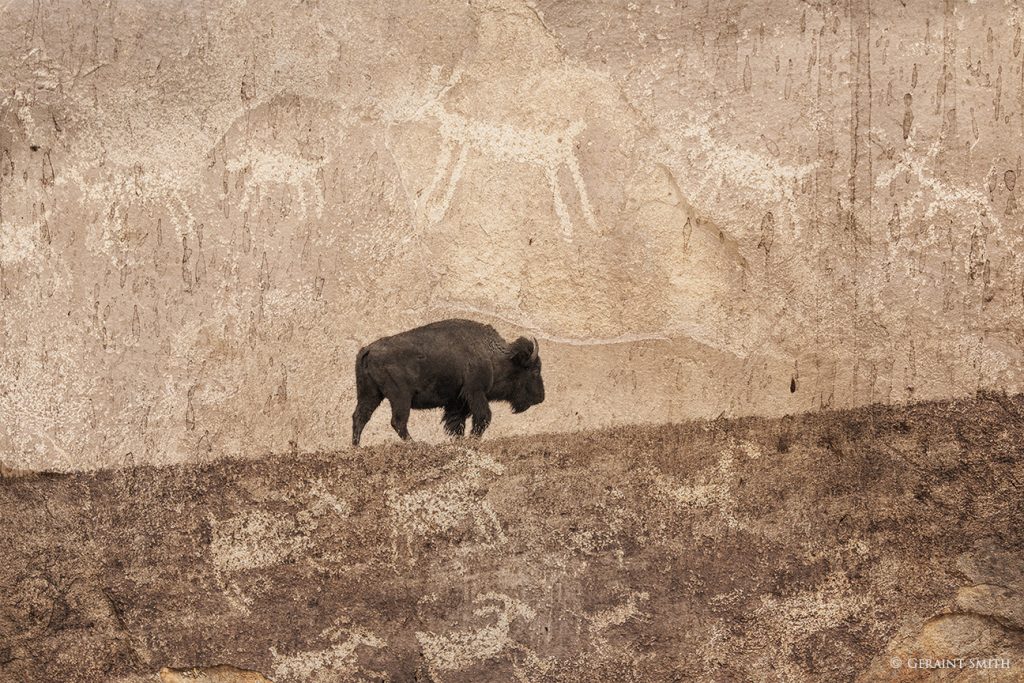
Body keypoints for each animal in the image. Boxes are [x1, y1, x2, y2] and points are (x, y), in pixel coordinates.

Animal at [351, 319, 545, 445]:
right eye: (535, 370)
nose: (540, 398)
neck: (491, 355)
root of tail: (368, 349)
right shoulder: (475, 392)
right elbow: (483, 417)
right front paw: (473, 439)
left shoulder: (457, 401)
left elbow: (456, 424)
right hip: (400, 397)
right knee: (397, 421)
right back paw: (416, 444)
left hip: (370, 394)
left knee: (360, 417)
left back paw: (356, 447)